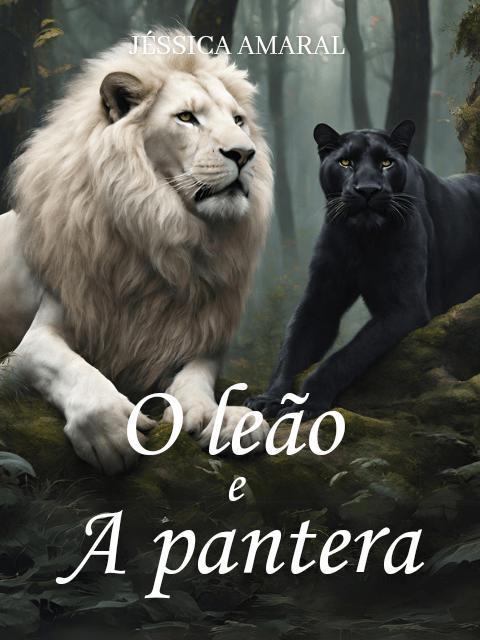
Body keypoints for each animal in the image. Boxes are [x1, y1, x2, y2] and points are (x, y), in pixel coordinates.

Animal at [0, 29, 273, 474]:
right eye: (186, 118)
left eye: (238, 121)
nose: (244, 154)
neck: (159, 235)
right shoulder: (33, 341)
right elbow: (71, 367)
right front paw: (111, 428)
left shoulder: (192, 334)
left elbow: (197, 376)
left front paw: (223, 417)